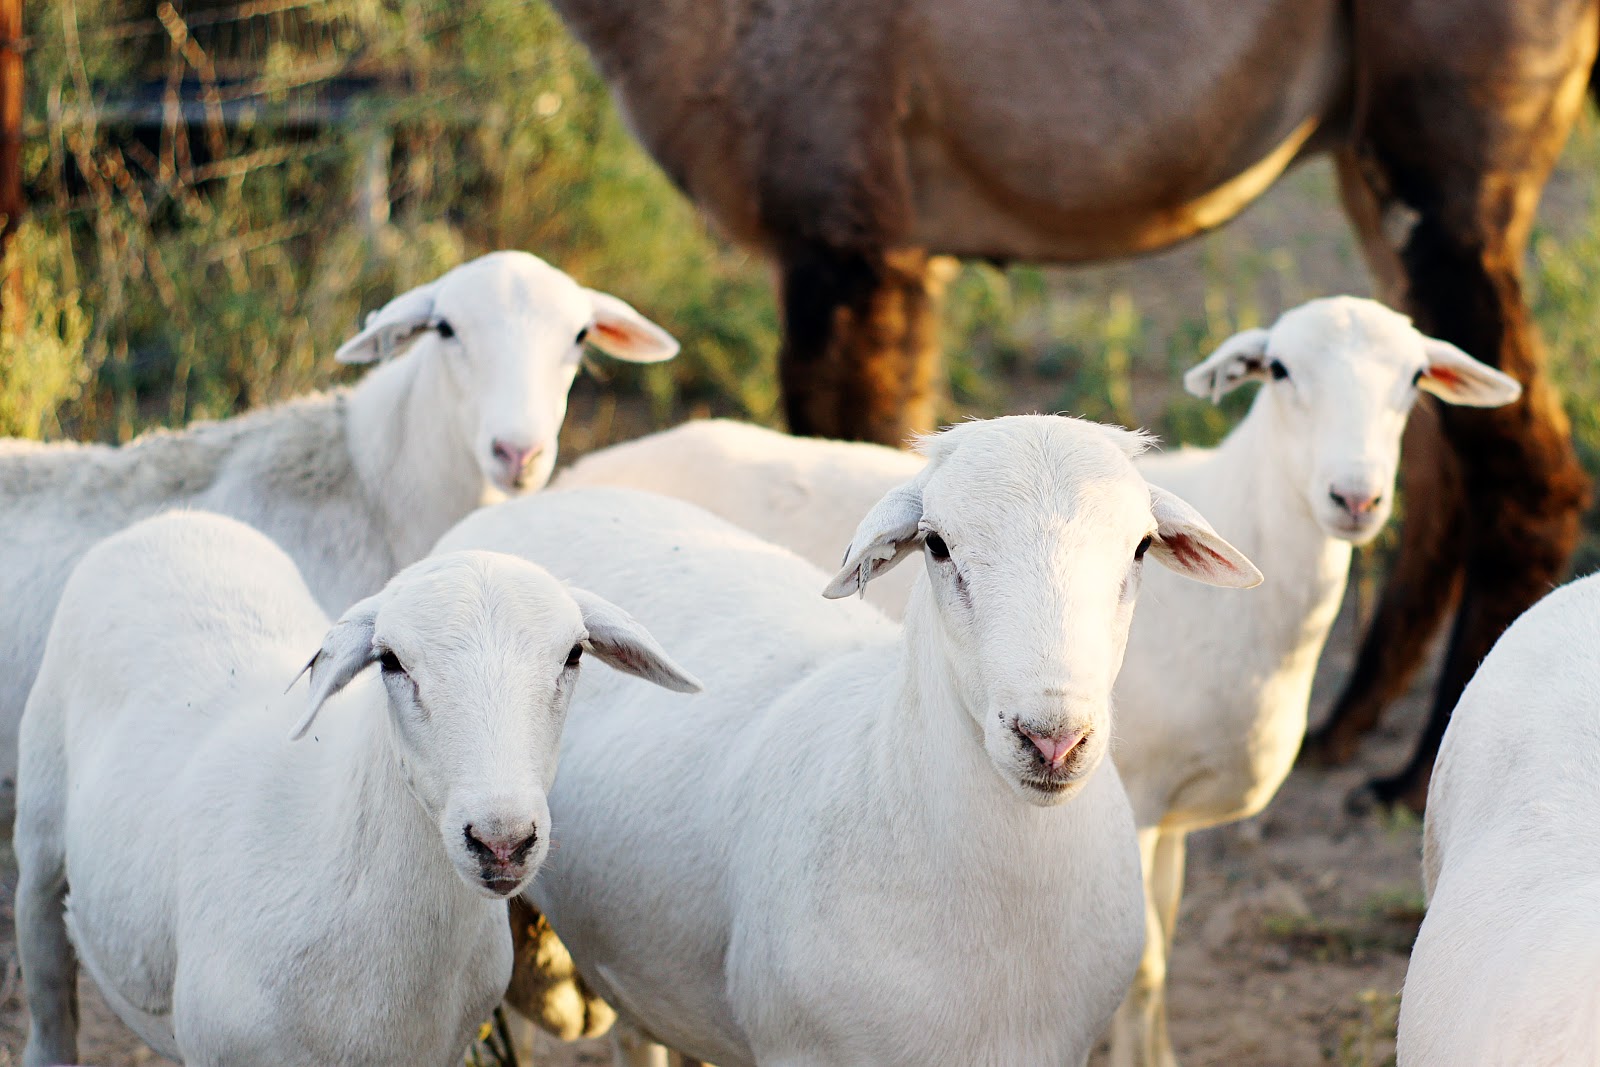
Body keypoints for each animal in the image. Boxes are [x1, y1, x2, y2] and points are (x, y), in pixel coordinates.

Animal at [555, 295, 1524, 1067]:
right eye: (1279, 370)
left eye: (1414, 380)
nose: (1354, 499)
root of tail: (578, 473)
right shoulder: (1143, 797)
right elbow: (1153, 966)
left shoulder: (1168, 815)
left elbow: (1157, 953)